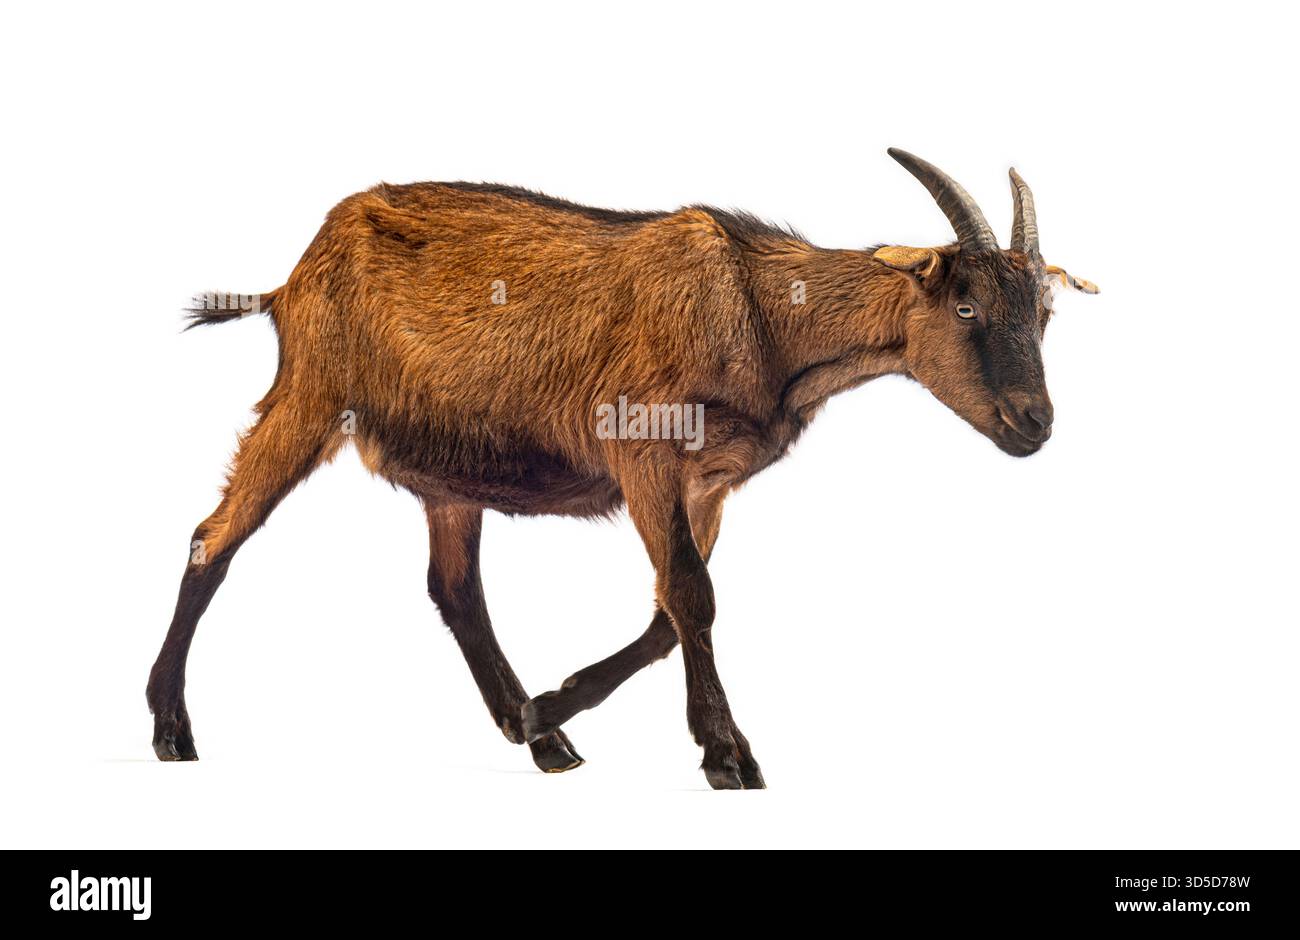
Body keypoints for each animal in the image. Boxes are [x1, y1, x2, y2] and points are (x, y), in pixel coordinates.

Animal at [148, 149, 1097, 788]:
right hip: (310, 397)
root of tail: (290, 279)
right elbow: (691, 597)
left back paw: (538, 736)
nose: (1035, 423)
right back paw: (169, 727)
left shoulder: (709, 484)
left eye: (1045, 314)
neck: (758, 311)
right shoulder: (643, 451)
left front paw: (551, 706)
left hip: (449, 473)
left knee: (454, 588)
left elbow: (669, 613)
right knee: (212, 538)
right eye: (966, 305)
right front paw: (728, 755)